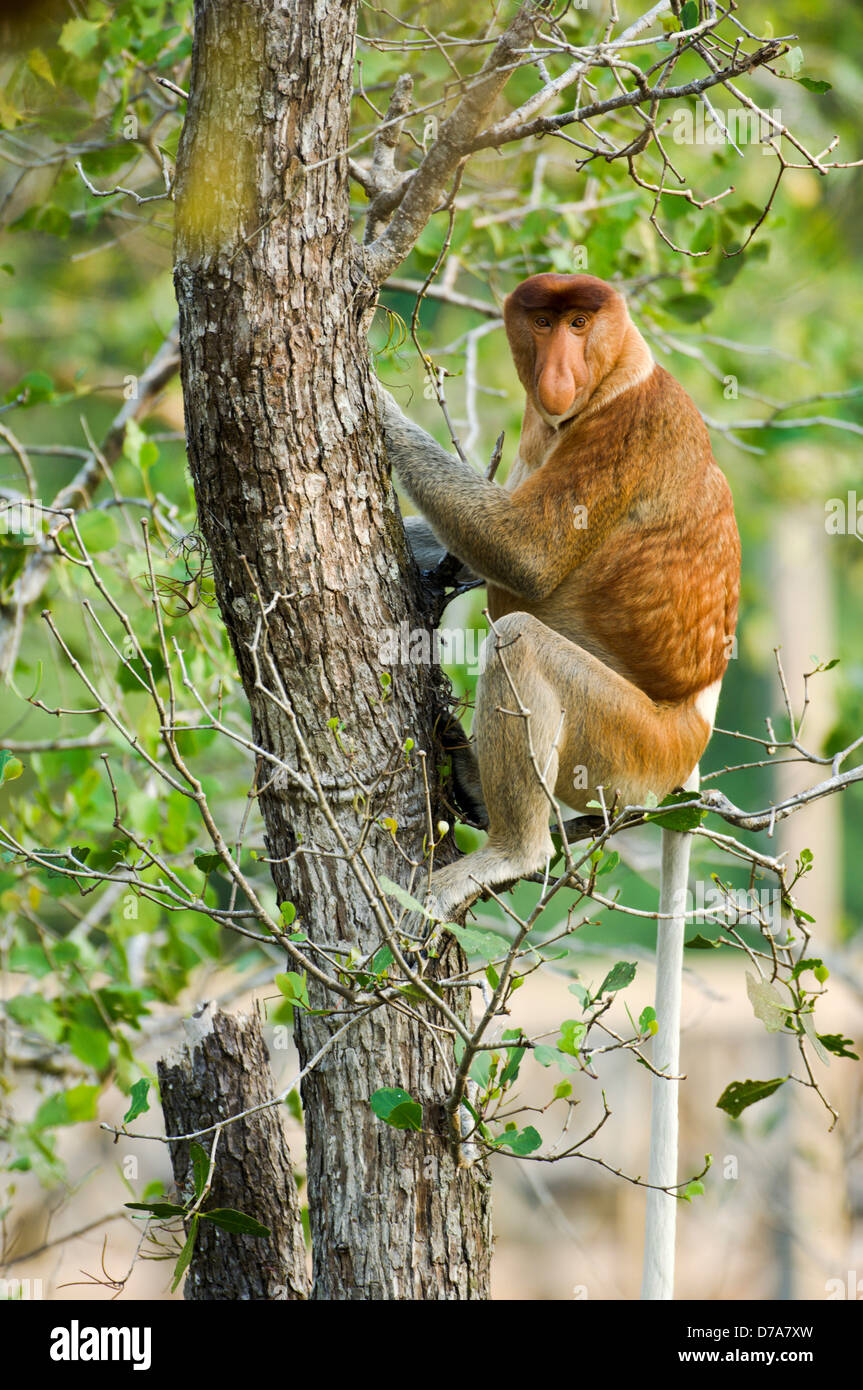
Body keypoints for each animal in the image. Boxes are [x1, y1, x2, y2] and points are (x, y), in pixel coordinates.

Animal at [378, 272, 740, 924]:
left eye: (579, 323)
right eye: (542, 323)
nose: (556, 373)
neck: (619, 372)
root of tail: (695, 731)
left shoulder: (625, 430)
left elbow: (526, 554)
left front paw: (378, 404)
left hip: (632, 750)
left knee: (519, 639)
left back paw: (510, 852)